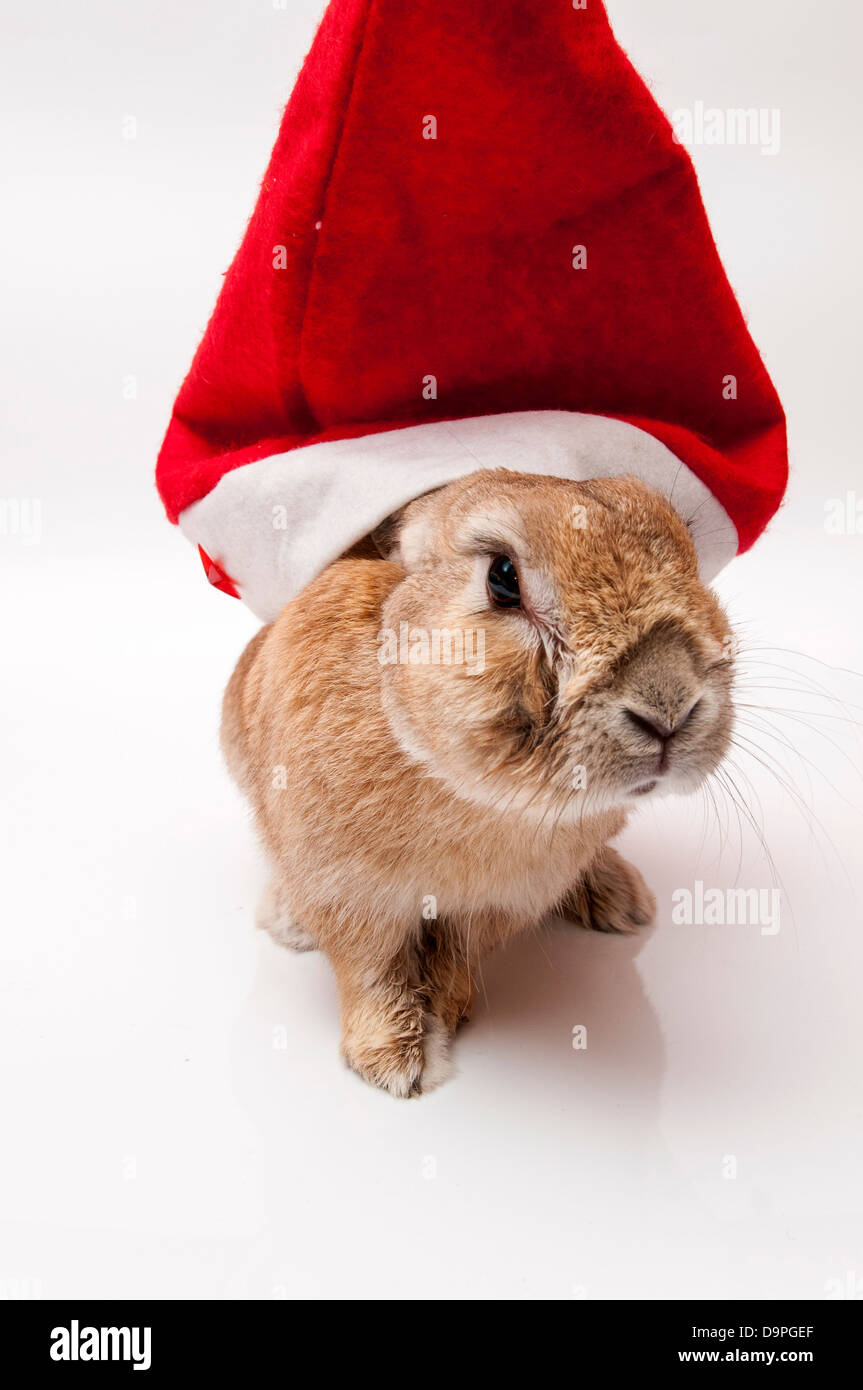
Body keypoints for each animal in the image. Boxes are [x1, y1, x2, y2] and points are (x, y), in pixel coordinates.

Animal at [222, 470, 735, 1097]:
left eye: (688, 556)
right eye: (503, 579)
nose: (668, 708)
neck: (471, 790)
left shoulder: (498, 905)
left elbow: (456, 958)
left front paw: (443, 1013)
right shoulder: (343, 890)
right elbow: (370, 968)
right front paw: (396, 1064)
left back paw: (621, 900)